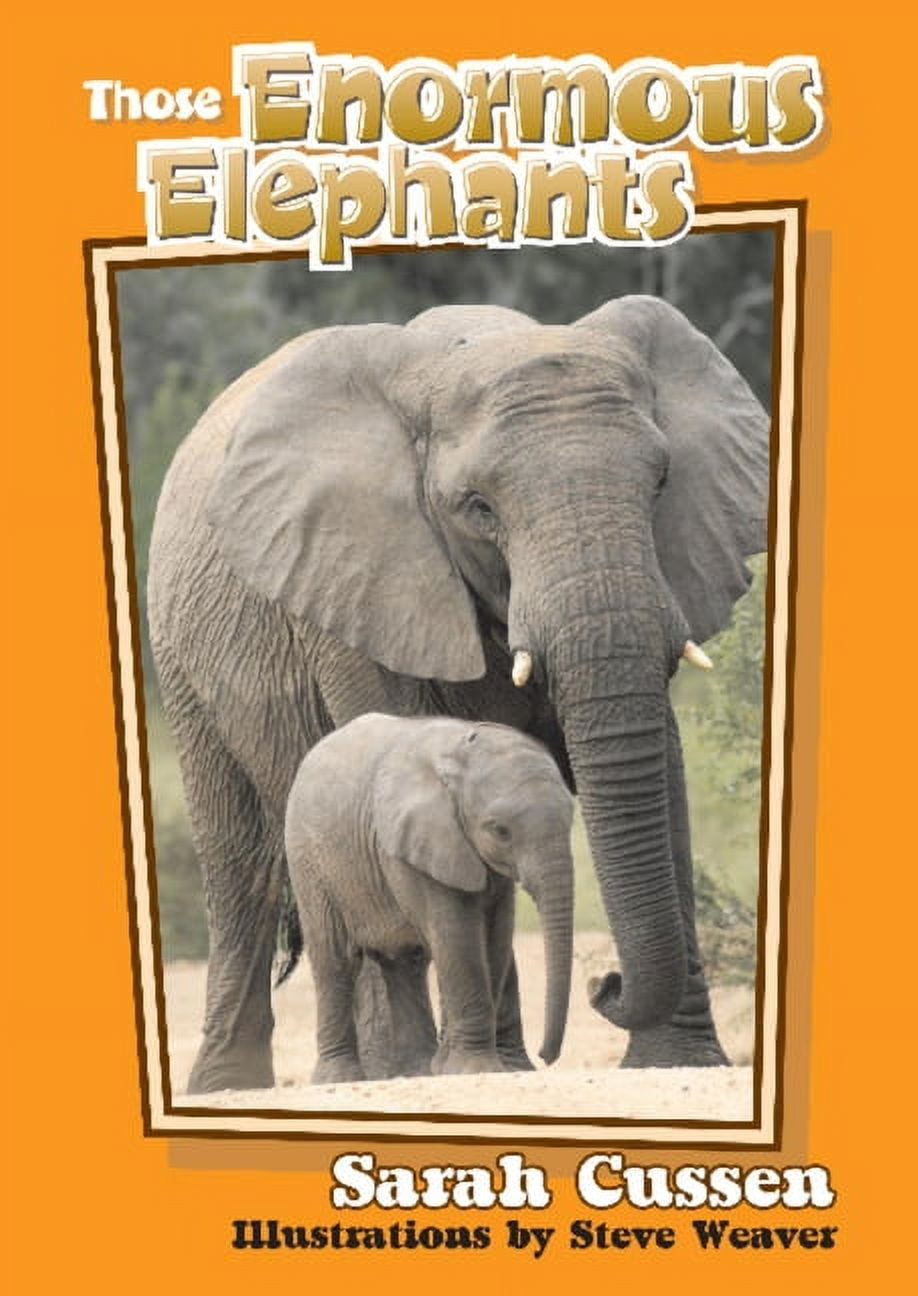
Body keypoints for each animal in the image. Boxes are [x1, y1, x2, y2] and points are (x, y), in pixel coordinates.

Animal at [284, 714, 575, 1081]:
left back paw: (419, 1070)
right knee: (335, 959)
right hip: (309, 861)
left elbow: (494, 938)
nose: (545, 1055)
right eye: (500, 831)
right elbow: (457, 935)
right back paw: (338, 1078)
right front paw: (473, 1069)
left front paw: (450, 1067)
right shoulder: (414, 845)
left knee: (405, 963)